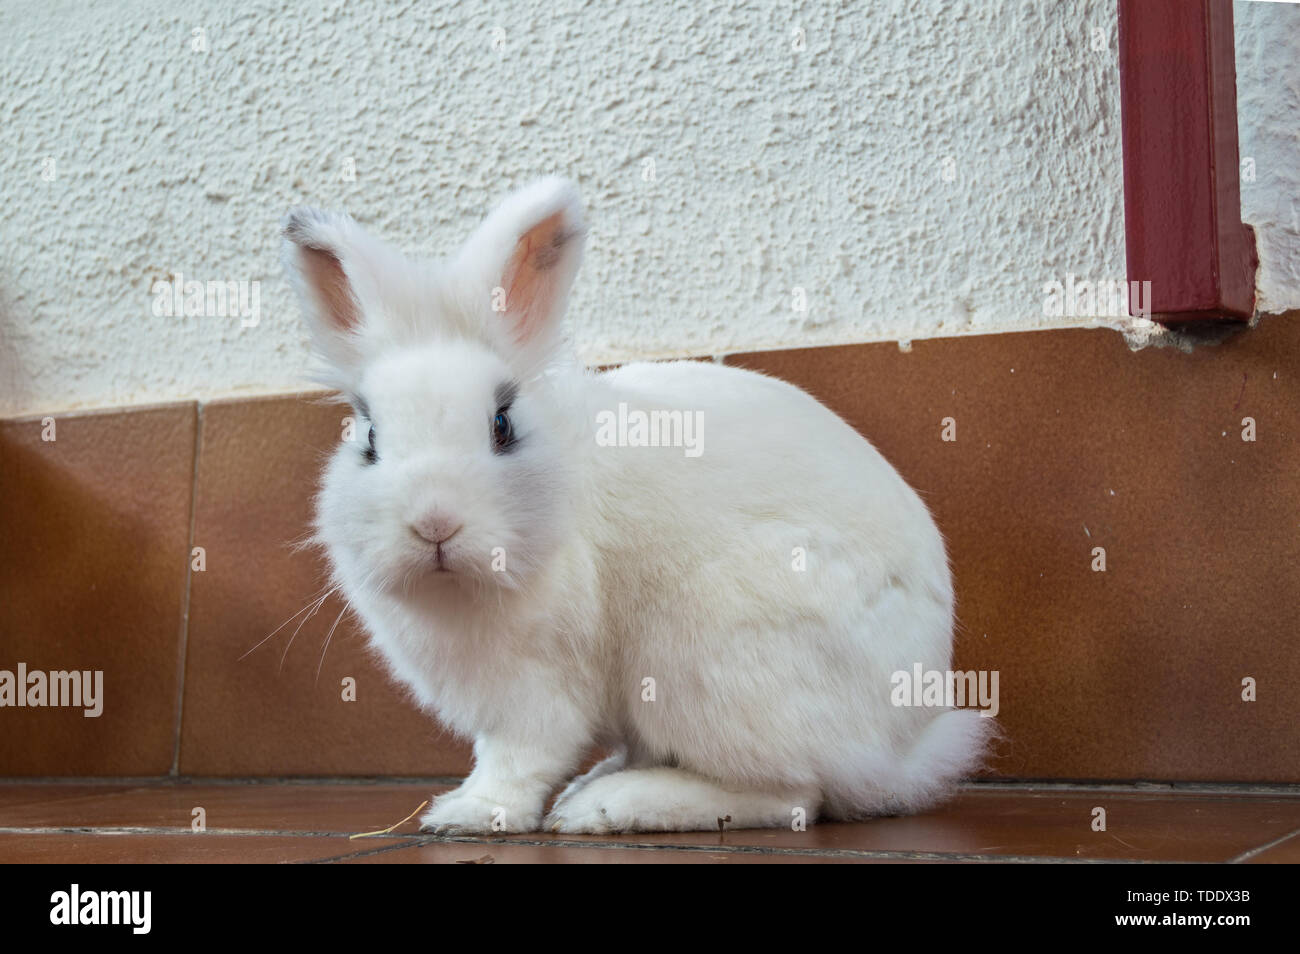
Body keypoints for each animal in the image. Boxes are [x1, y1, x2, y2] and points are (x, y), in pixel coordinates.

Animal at [280, 177, 993, 834]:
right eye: (369, 439)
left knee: (792, 795)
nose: (434, 523)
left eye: (502, 425)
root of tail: (896, 751)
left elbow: (516, 757)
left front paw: (469, 814)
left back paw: (607, 807)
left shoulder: (536, 689)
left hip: (707, 660)